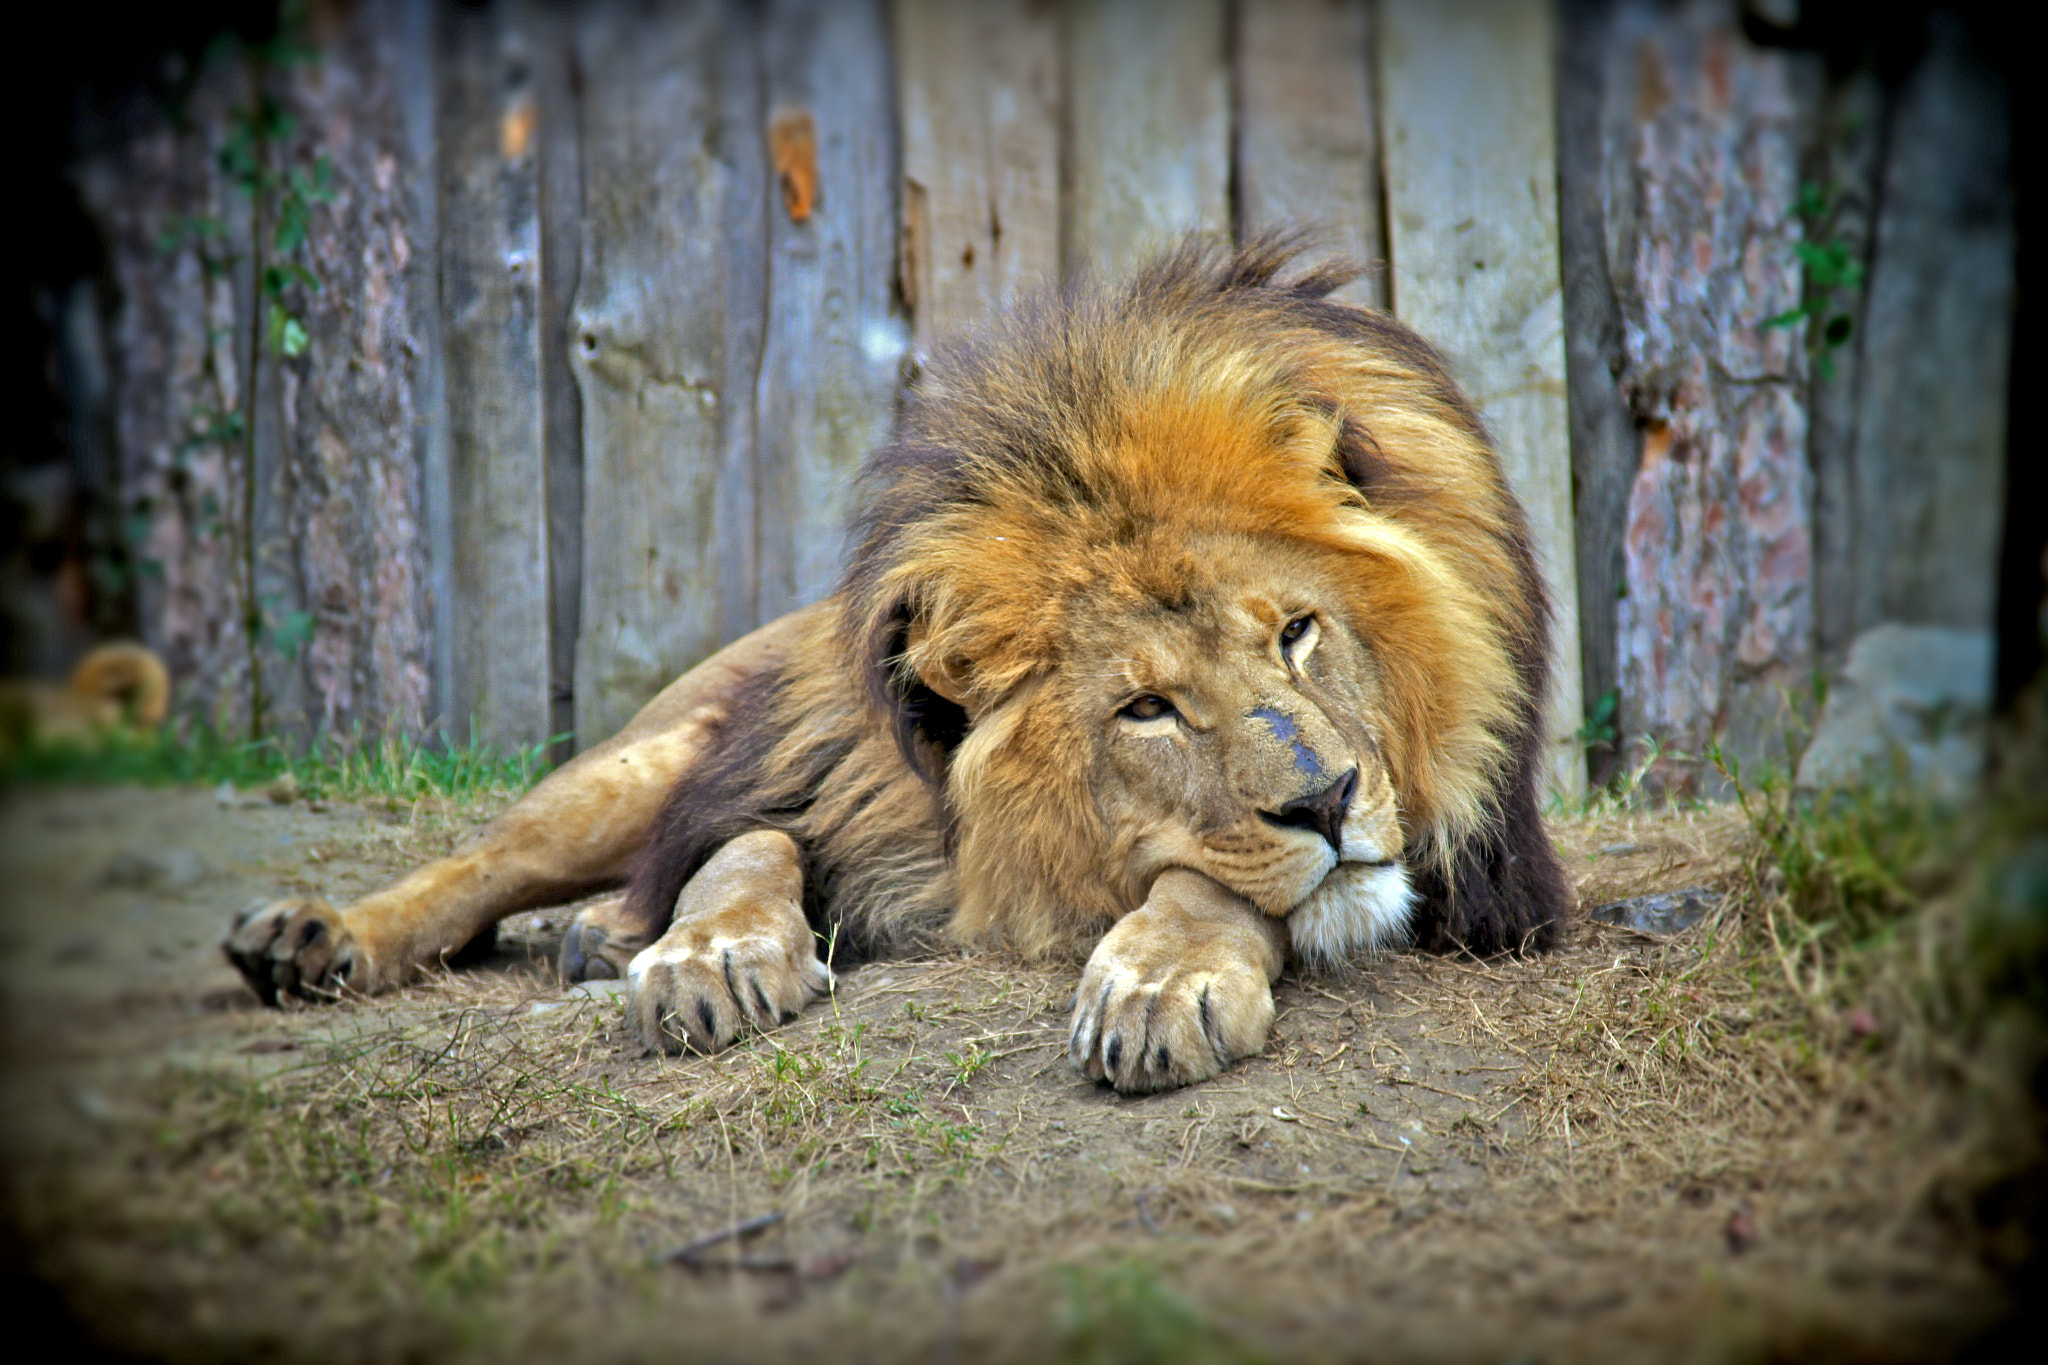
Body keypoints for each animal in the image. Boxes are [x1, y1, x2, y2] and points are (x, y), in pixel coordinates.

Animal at [223, 237, 1570, 1094]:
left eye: (1294, 633)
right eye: (1144, 709)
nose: (1327, 802)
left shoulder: (1485, 882)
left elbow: (1219, 887)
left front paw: (1159, 975)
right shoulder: (782, 773)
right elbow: (742, 853)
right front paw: (711, 958)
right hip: (638, 763)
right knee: (480, 864)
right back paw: (318, 937)